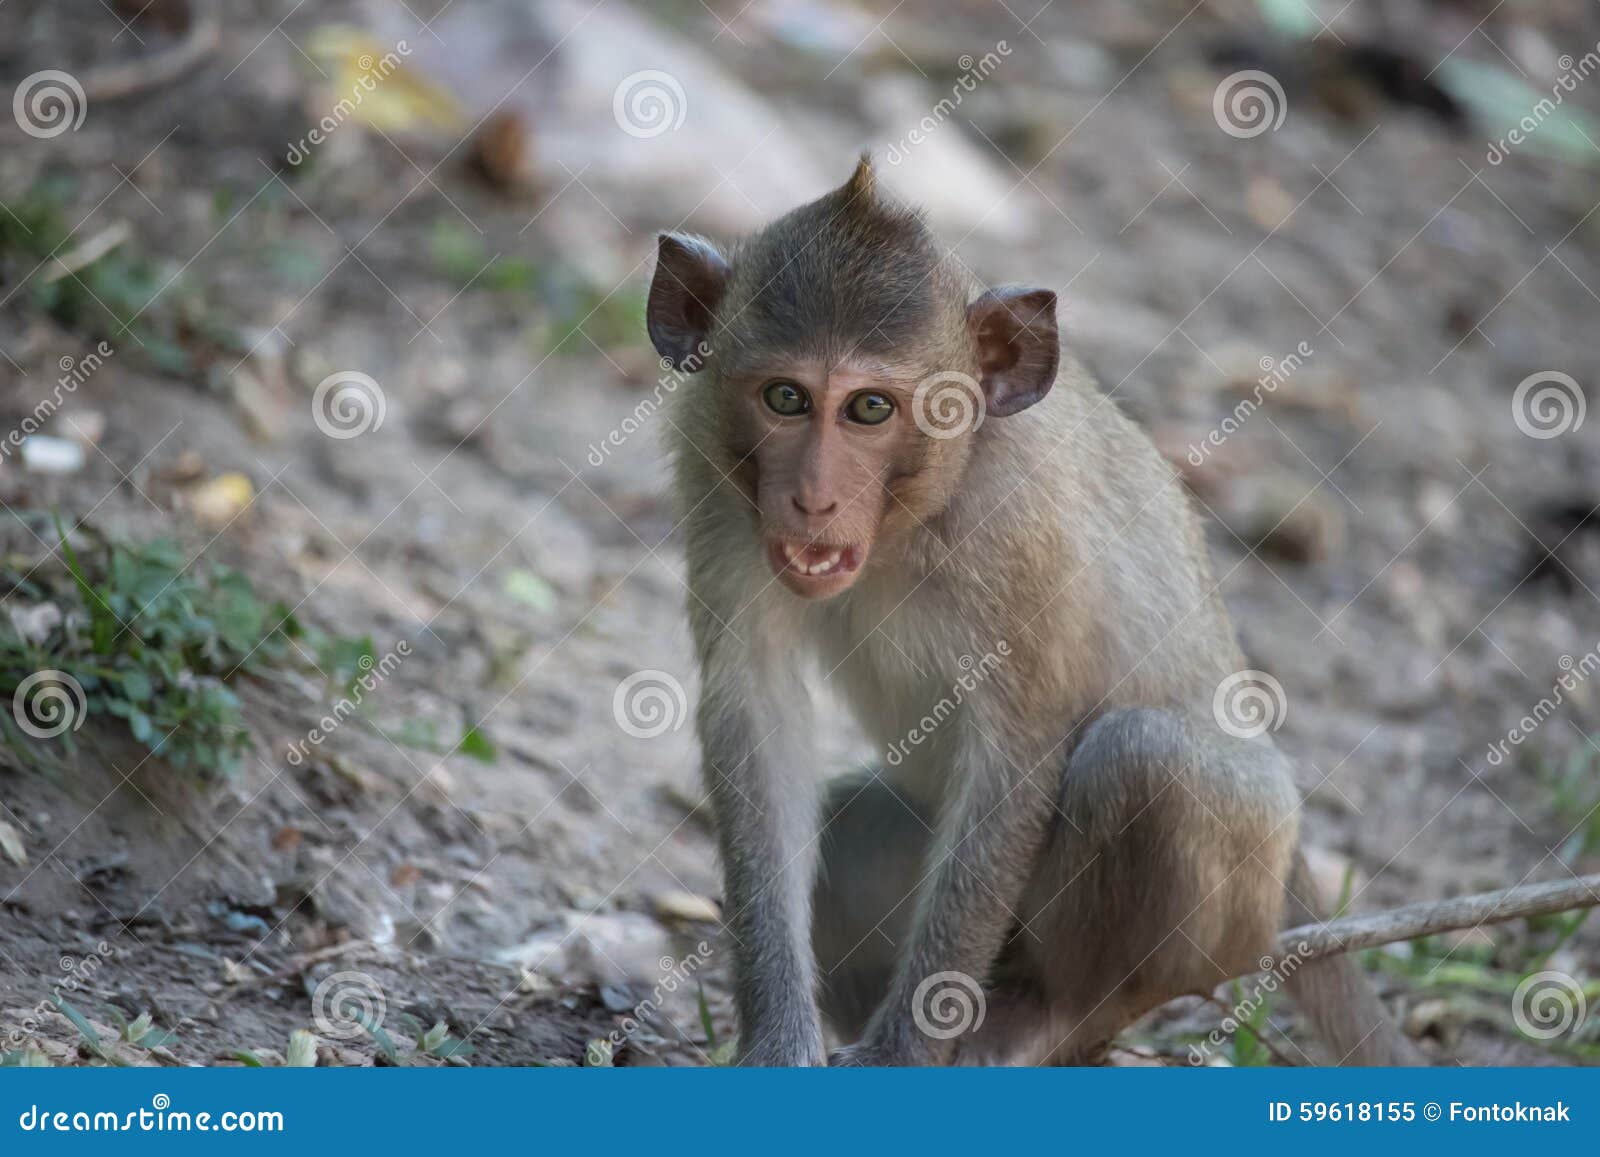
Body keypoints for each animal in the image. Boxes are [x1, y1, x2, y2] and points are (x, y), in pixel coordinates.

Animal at [645, 155, 1416, 1067]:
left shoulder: (1019, 526)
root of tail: (1293, 874)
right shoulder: (712, 475)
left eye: (870, 408)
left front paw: (899, 1058)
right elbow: (756, 712)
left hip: (1238, 900)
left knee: (1144, 758)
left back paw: (1046, 1017)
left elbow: (1019, 749)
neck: (915, 517)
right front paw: (776, 1038)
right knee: (850, 827)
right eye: (786, 398)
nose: (813, 498)